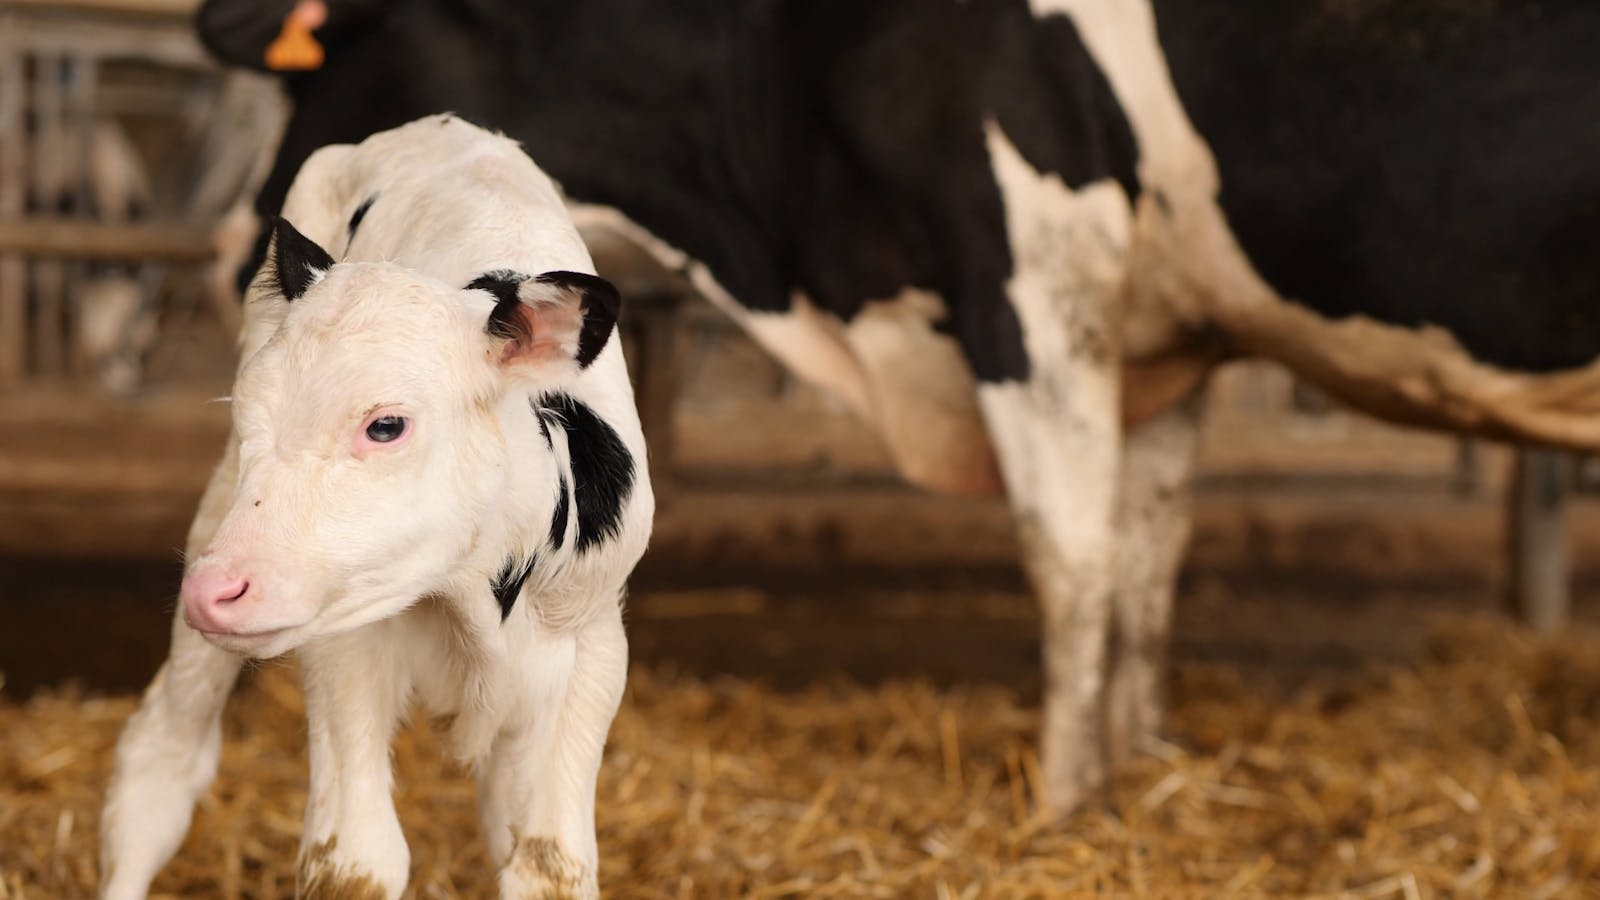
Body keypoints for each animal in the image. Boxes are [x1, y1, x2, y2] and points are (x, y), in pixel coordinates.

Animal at [99, 116, 654, 900]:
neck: (471, 591)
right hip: (218, 513)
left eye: (386, 425)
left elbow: (547, 864)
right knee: (162, 755)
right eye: (248, 409)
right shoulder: (343, 646)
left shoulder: (590, 648)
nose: (214, 589)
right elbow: (356, 861)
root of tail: (440, 126)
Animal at [174, 0, 1600, 824]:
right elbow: (1147, 561)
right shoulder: (1162, 338)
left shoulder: (1033, 274)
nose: (234, 254)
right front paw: (1138, 768)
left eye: (316, 70)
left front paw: (1061, 803)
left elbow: (1074, 560)